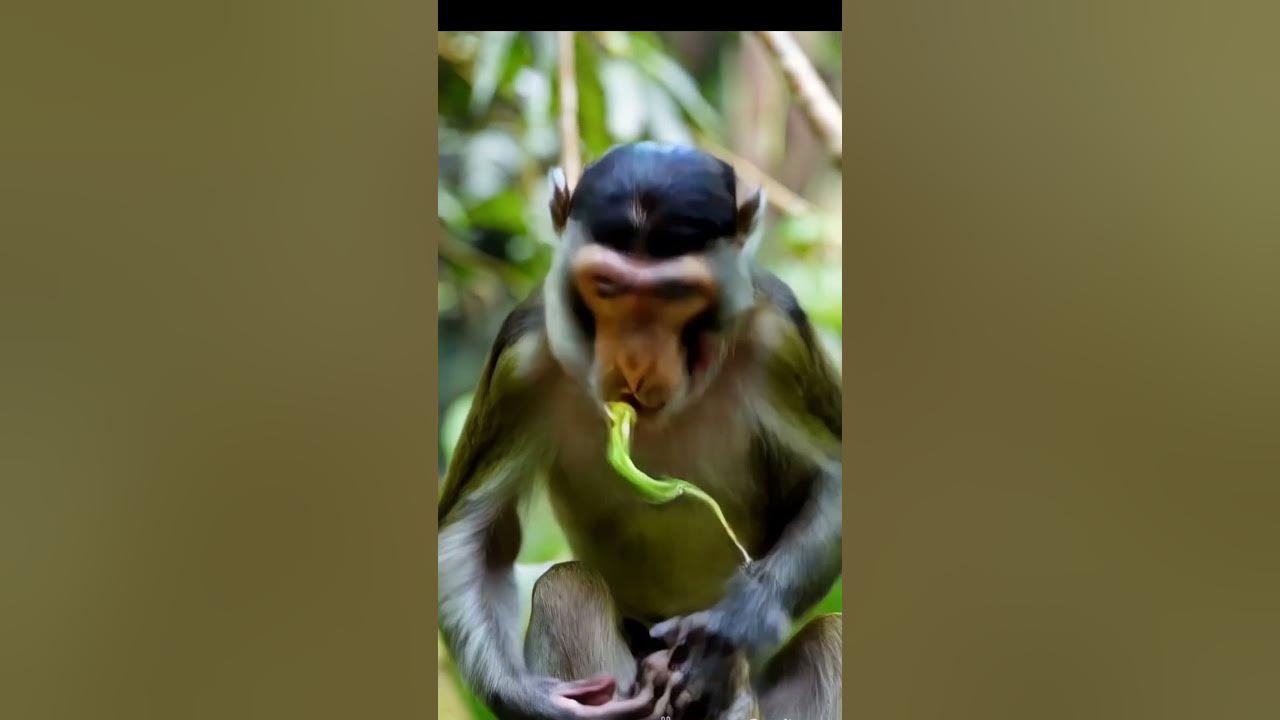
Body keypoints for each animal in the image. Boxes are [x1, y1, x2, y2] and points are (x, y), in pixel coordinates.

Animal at [438, 141, 842, 720]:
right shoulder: (521, 357)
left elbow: (834, 478)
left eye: (675, 293)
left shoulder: (780, 337)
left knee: (829, 641)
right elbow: (474, 535)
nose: (634, 362)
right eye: (607, 288)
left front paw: (736, 622)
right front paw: (532, 701)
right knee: (567, 586)